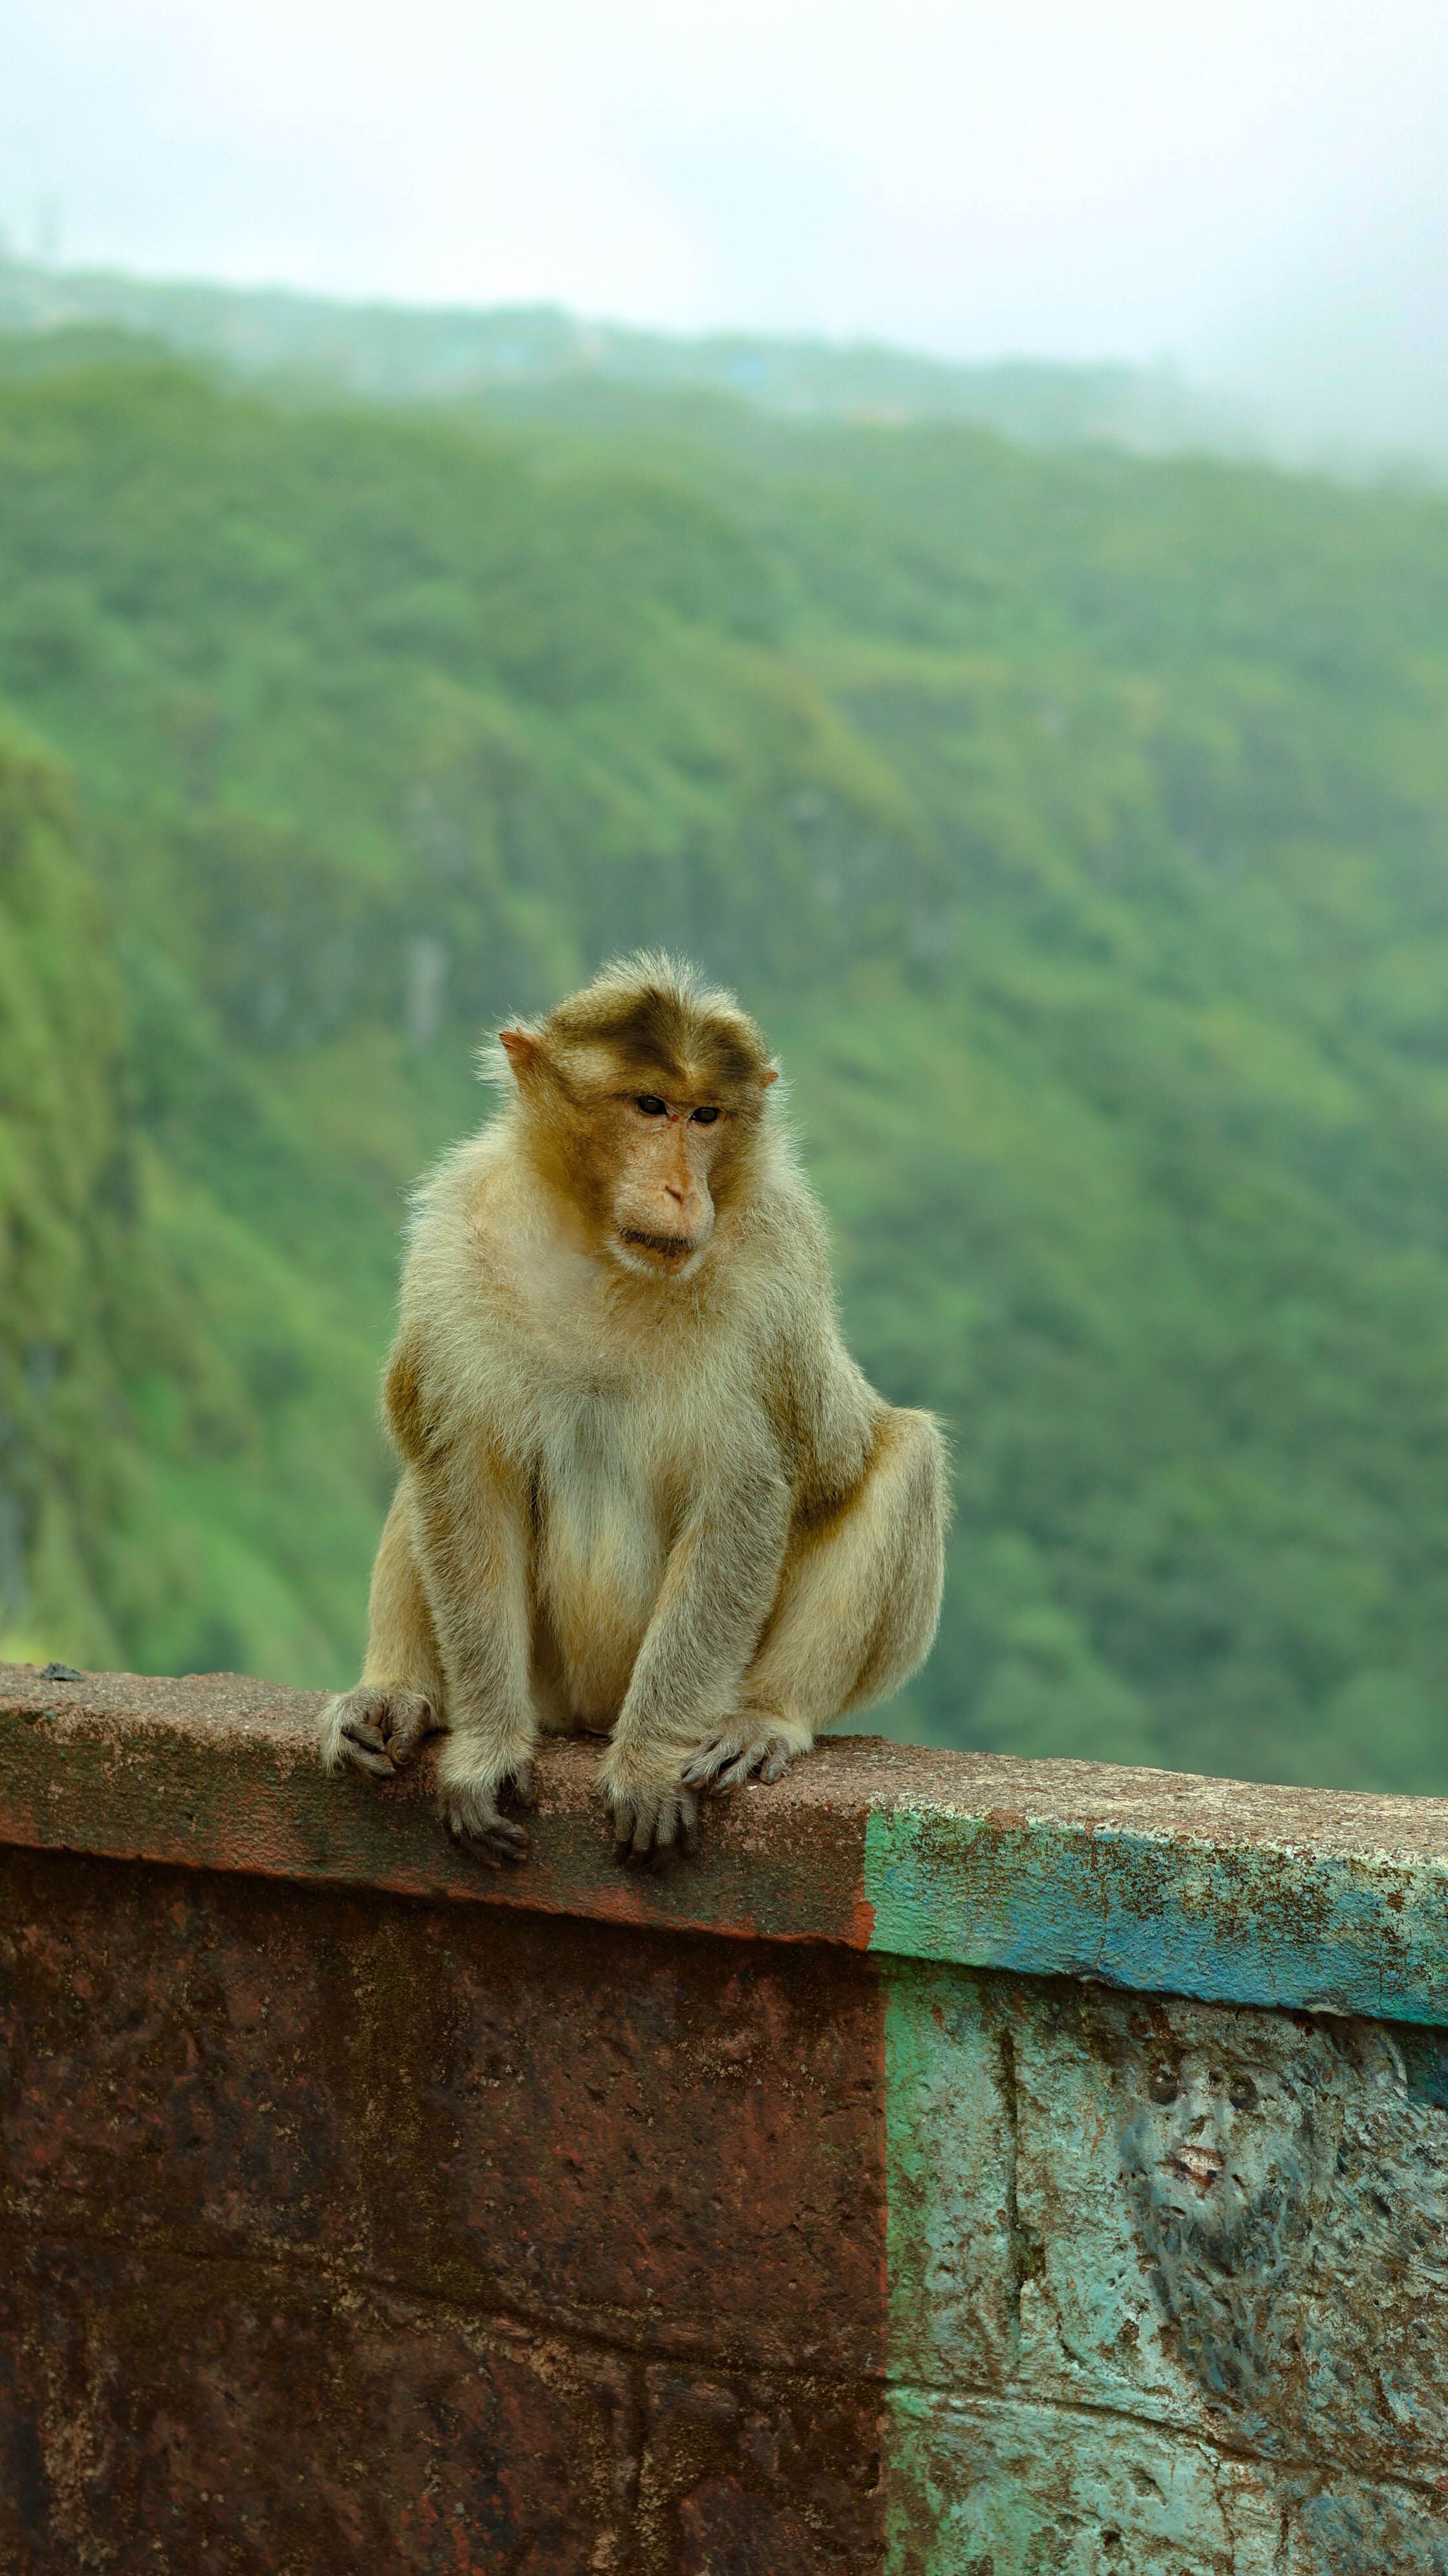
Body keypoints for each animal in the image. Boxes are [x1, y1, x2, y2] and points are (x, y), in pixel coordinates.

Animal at [318, 953, 949, 1863]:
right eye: (650, 1106)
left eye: (706, 1115)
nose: (682, 1190)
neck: (599, 1252)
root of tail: (586, 1716)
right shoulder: (451, 1244)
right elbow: (465, 1476)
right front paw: (484, 1751)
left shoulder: (775, 1262)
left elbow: (742, 1499)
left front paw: (649, 1762)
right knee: (425, 1464)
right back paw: (395, 1694)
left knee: (906, 1453)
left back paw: (764, 1717)